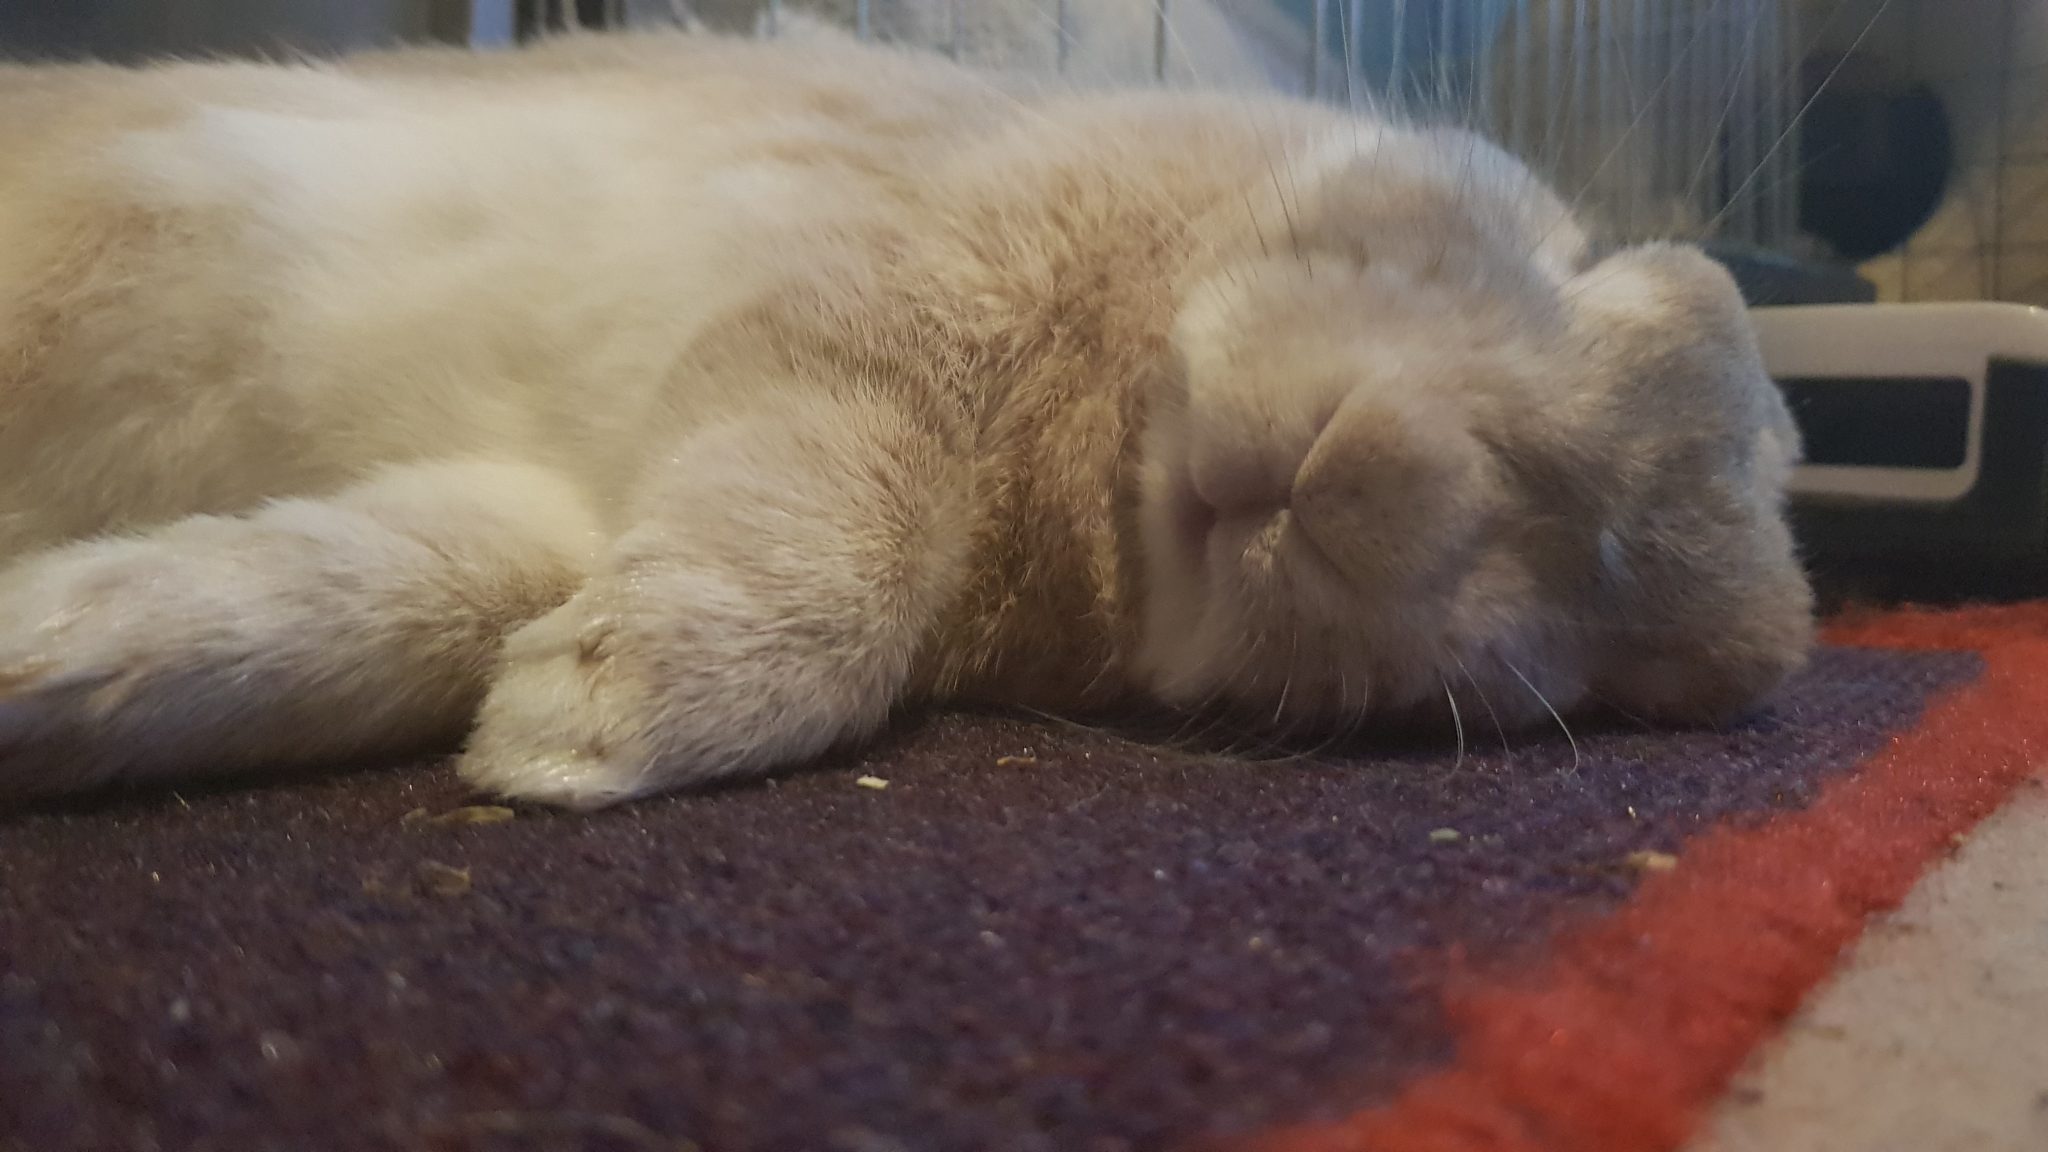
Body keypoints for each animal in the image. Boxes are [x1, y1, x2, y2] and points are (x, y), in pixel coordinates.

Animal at [0, 26, 1813, 809]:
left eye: (1582, 680)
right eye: (1572, 268)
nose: (1360, 490)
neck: (1093, 461)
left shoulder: (553, 504)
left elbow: (357, 604)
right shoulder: (868, 289)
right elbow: (849, 534)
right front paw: (601, 727)